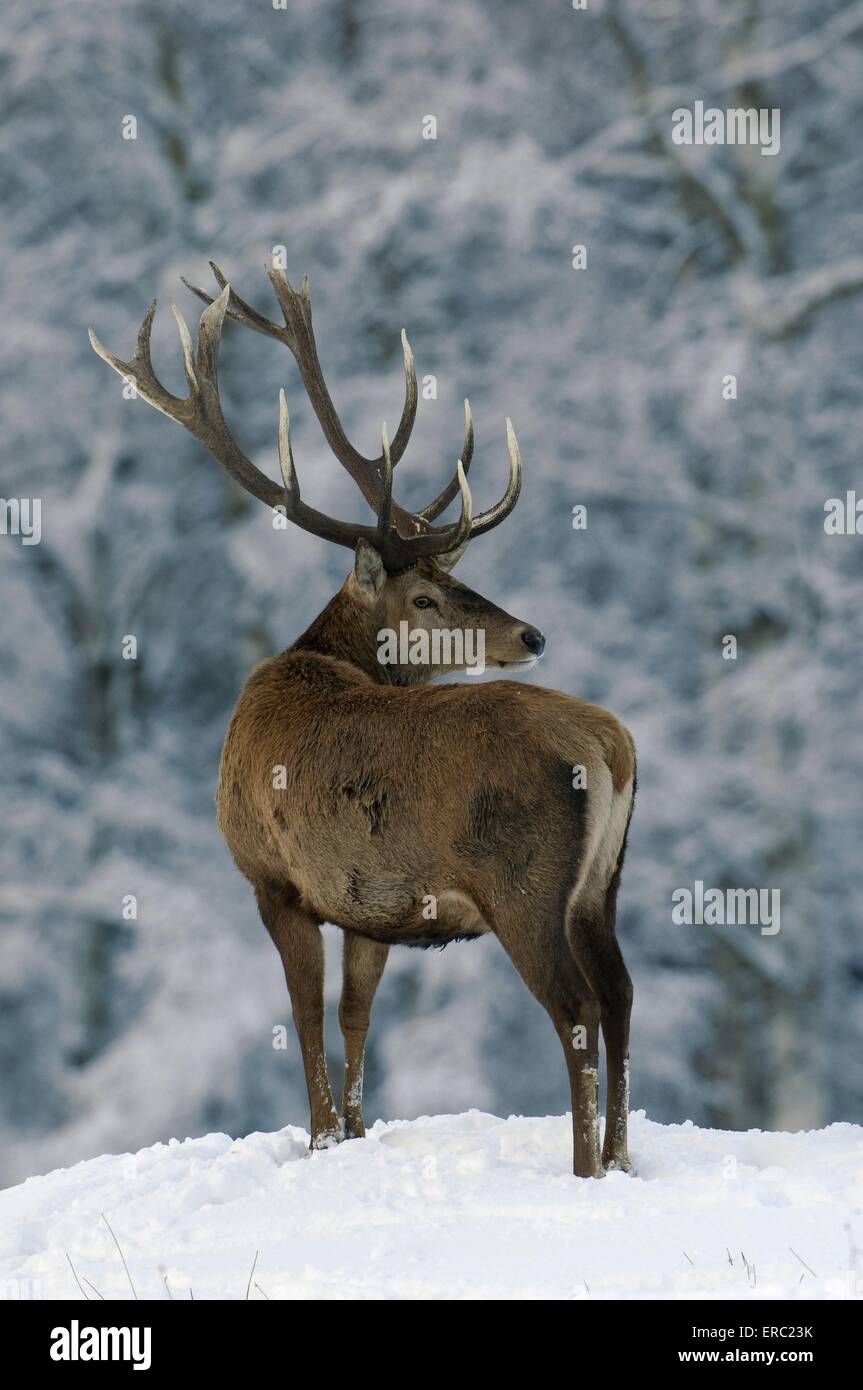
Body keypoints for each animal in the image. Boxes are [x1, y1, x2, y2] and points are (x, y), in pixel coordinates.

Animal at [89, 260, 636, 1178]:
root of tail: (610, 747)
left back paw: (584, 1169)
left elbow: (304, 1012)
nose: (529, 634)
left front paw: (315, 1139)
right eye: (426, 595)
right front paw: (350, 1132)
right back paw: (624, 1161)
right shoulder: (370, 900)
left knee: (575, 1008)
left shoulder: (273, 877)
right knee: (623, 995)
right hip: (602, 884)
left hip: (524, 883)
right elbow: (355, 1012)